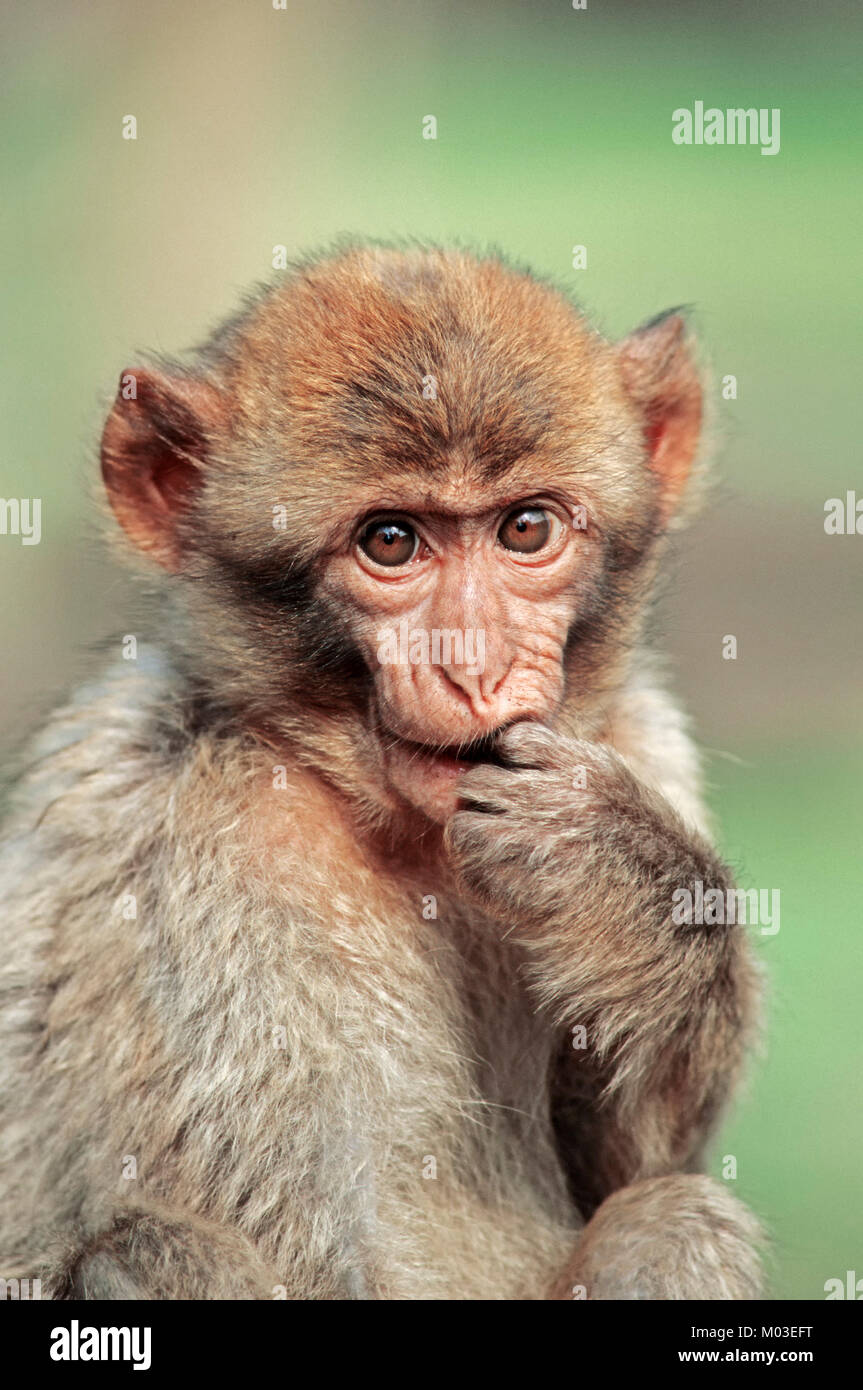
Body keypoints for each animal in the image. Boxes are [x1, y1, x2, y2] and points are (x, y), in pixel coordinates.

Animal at [0, 244, 763, 1300]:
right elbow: (311, 1249)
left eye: (525, 529)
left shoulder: (639, 736)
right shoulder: (203, 853)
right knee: (149, 1251)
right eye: (390, 541)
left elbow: (637, 1164)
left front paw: (619, 881)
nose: (475, 666)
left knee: (674, 1215)